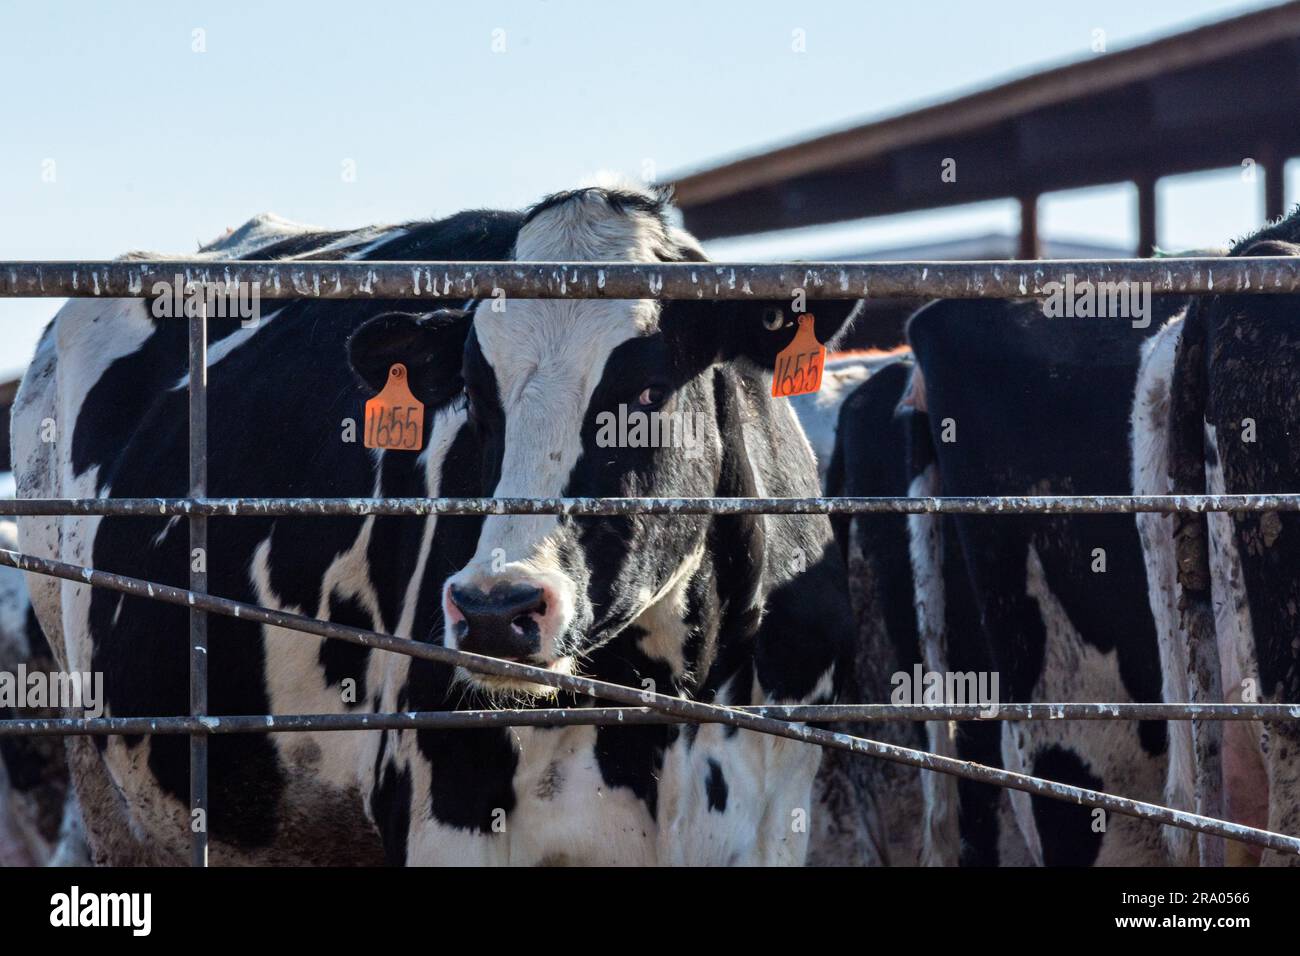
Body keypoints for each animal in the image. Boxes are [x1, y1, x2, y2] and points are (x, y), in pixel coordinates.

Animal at [12, 184, 864, 865]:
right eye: (476, 397)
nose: (495, 609)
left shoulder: (764, 817)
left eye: (649, 390)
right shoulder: (448, 811)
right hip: (107, 789)